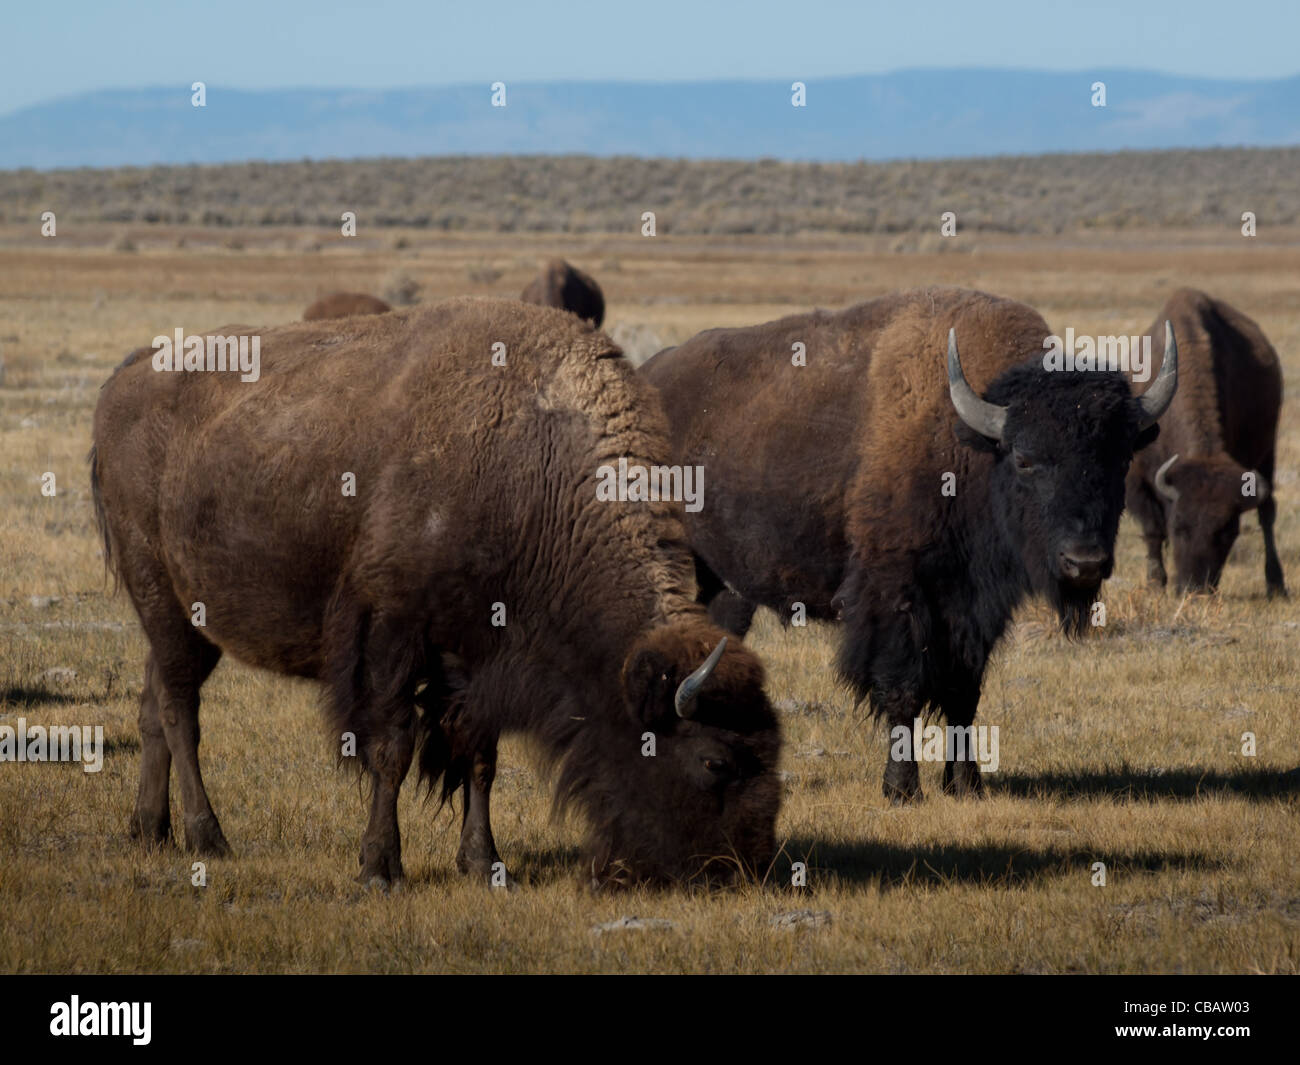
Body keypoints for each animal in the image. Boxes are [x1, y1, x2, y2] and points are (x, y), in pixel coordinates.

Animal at [91, 299, 781, 887]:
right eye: (716, 762)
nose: (743, 870)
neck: (531, 470)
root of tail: (127, 378)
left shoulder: (478, 659)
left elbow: (479, 756)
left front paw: (484, 864)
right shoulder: (393, 638)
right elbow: (392, 749)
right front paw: (380, 869)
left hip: (188, 623)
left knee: (153, 702)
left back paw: (147, 830)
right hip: (165, 604)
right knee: (180, 710)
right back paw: (208, 837)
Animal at [642, 287, 1176, 801]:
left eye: (1121, 456)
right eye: (1025, 459)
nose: (1084, 562)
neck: (970, 445)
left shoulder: (972, 610)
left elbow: (964, 692)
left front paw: (966, 785)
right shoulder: (896, 598)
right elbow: (904, 691)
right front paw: (901, 789)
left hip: (725, 585)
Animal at [1126, 288, 1286, 596]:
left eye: (1227, 531)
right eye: (1179, 526)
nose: (1193, 589)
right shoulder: (1138, 479)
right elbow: (1152, 529)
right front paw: (1155, 584)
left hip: (1268, 453)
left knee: (1268, 514)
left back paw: (1276, 585)